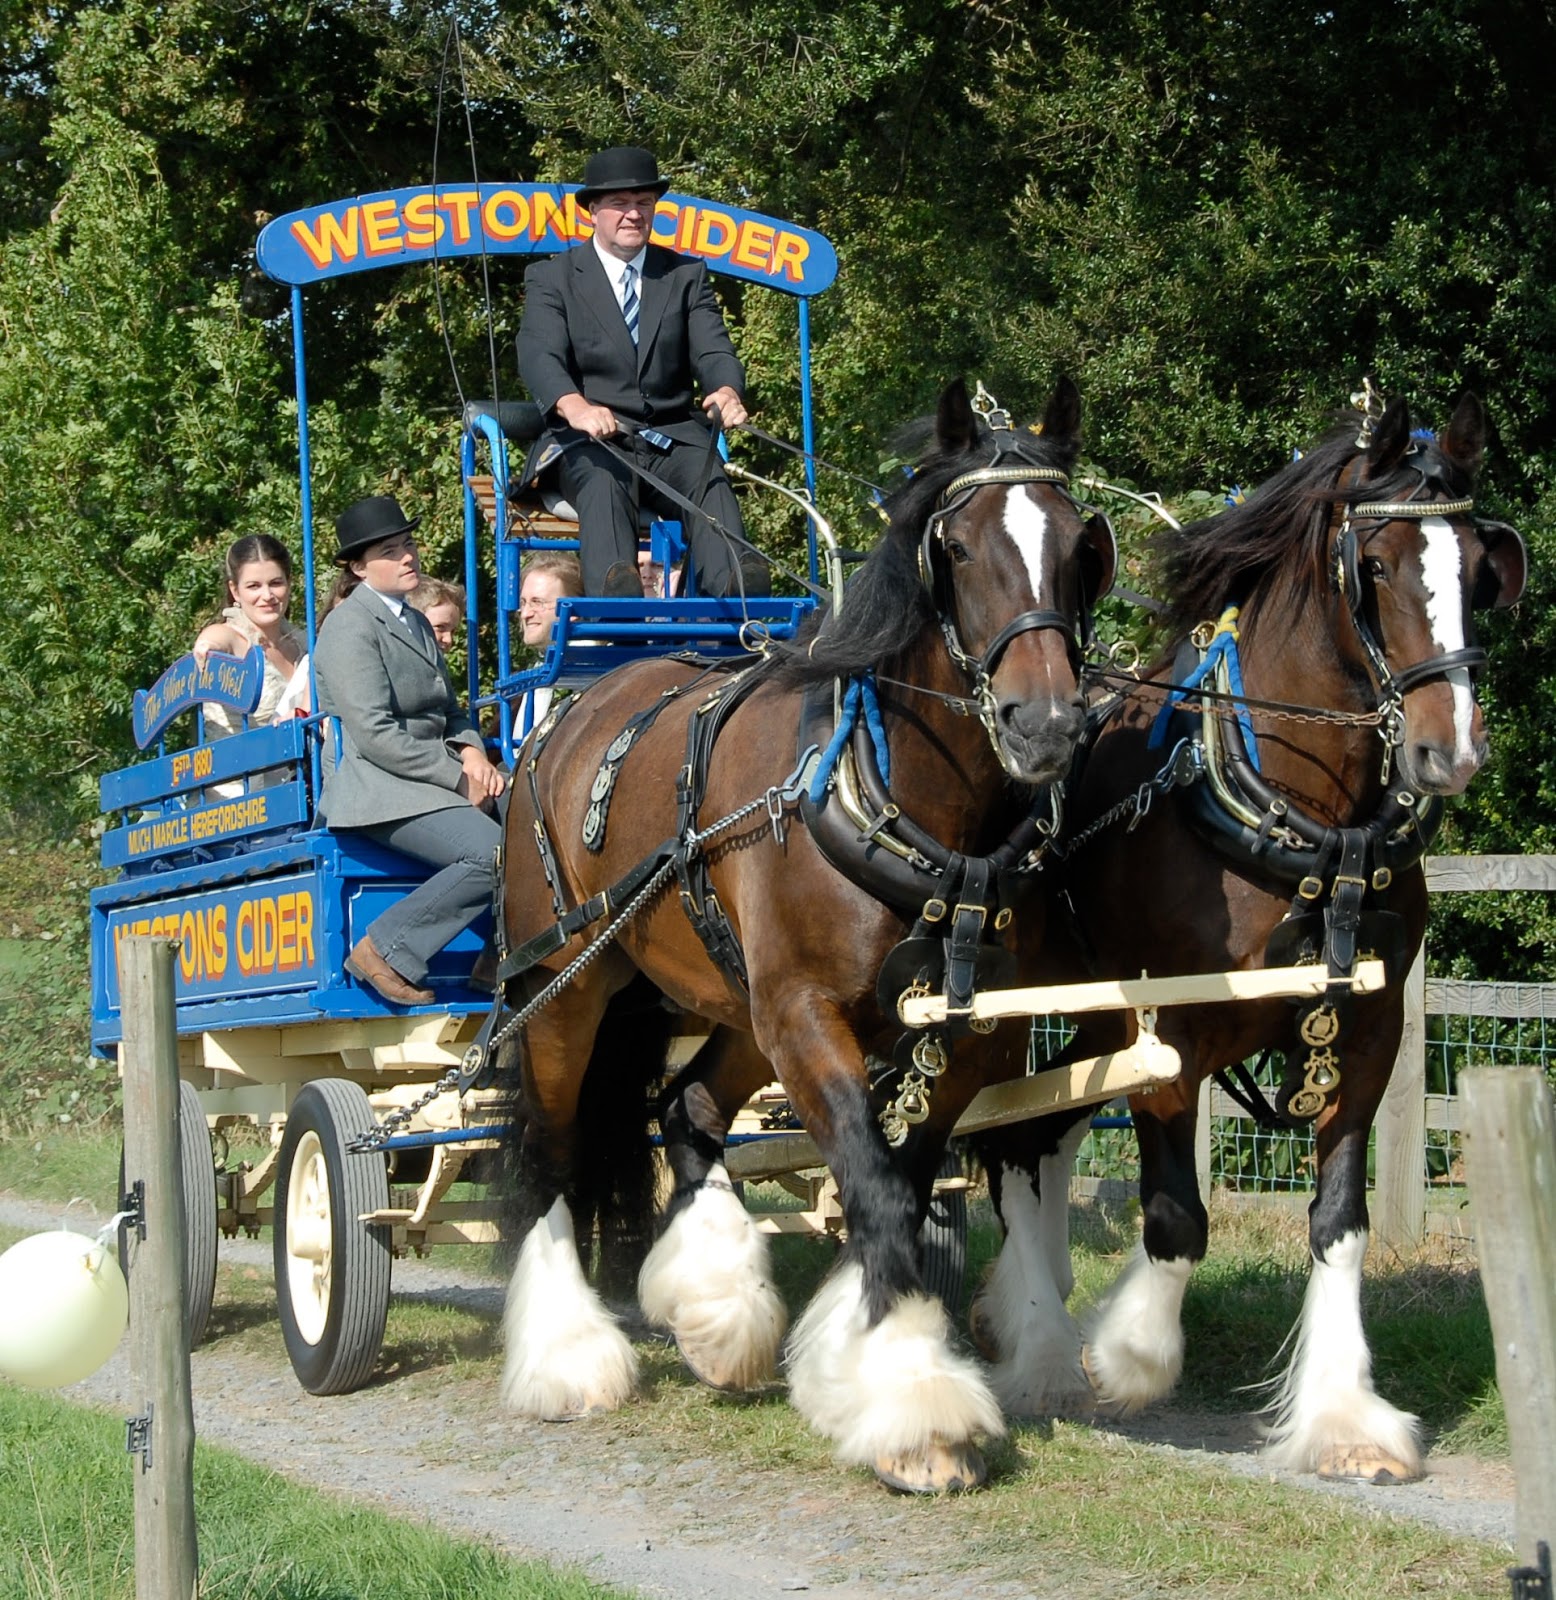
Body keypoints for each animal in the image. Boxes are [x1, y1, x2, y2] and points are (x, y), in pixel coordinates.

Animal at [491, 376, 1116, 1492]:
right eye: (957, 550)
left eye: (1077, 545)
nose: (1045, 725)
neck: (900, 801)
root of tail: (567, 714)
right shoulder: (806, 1016)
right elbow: (876, 1191)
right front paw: (916, 1409)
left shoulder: (963, 1035)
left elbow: (894, 1189)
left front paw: (853, 1360)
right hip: (568, 986)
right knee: (549, 1153)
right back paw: (565, 1357)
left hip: (730, 1004)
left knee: (686, 1106)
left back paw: (714, 1311)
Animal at [969, 388, 1527, 1483]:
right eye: (1377, 568)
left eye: (1480, 571)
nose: (1451, 750)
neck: (1301, 816)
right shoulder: (1168, 1030)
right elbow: (1176, 1219)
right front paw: (1129, 1351)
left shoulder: (1368, 1032)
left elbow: (1339, 1221)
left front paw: (1344, 1418)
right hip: (1017, 1005)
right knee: (1011, 1138)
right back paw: (1046, 1352)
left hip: (1088, 1018)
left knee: (1046, 1132)